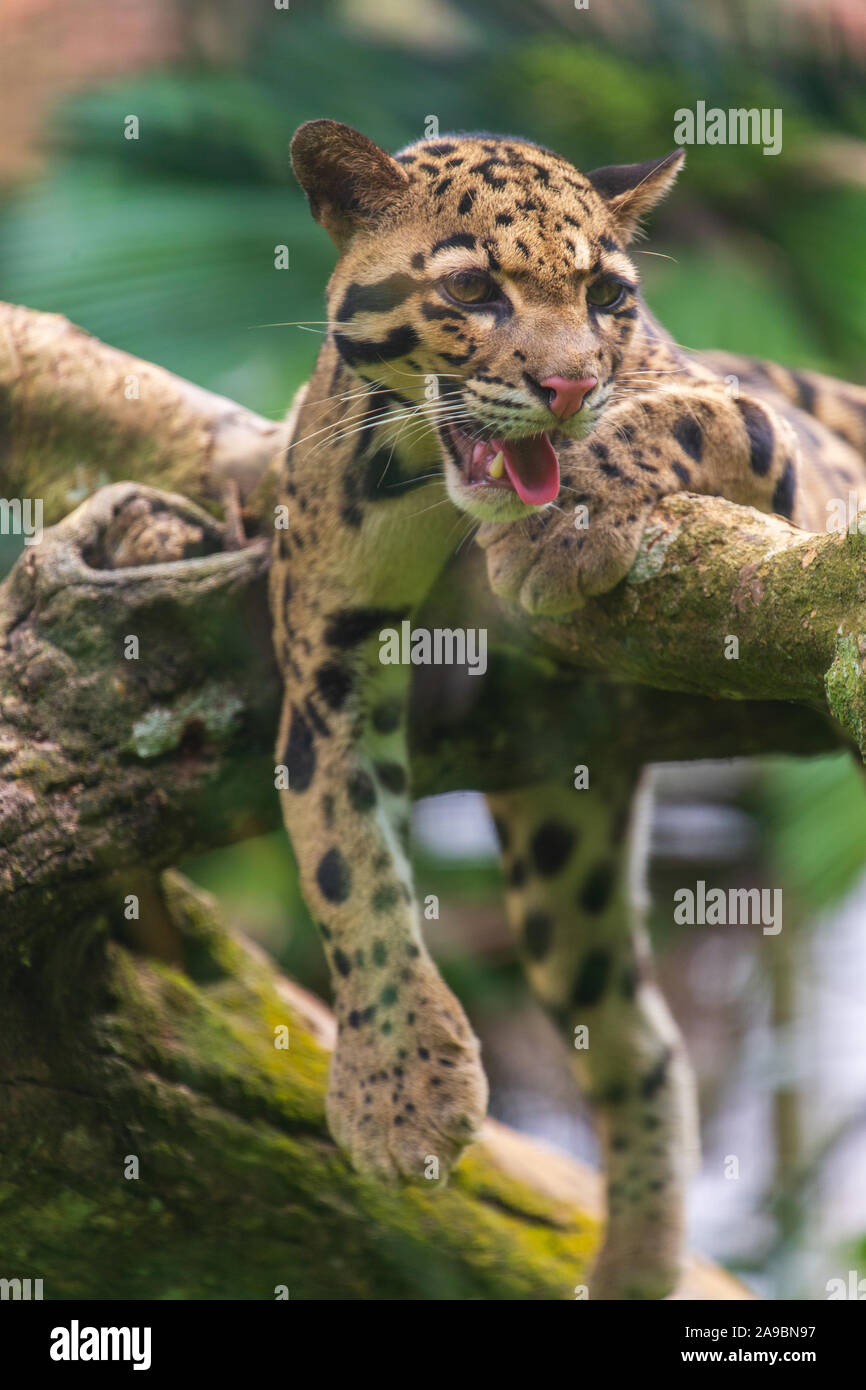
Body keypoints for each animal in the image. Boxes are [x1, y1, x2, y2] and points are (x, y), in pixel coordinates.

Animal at [270, 118, 866, 1299]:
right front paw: (396, 1085)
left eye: (605, 295)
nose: (565, 385)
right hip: (559, 843)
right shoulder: (322, 651)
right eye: (471, 287)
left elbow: (695, 409)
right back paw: (635, 1261)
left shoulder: (806, 478)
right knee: (632, 1037)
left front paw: (567, 519)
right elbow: (342, 855)